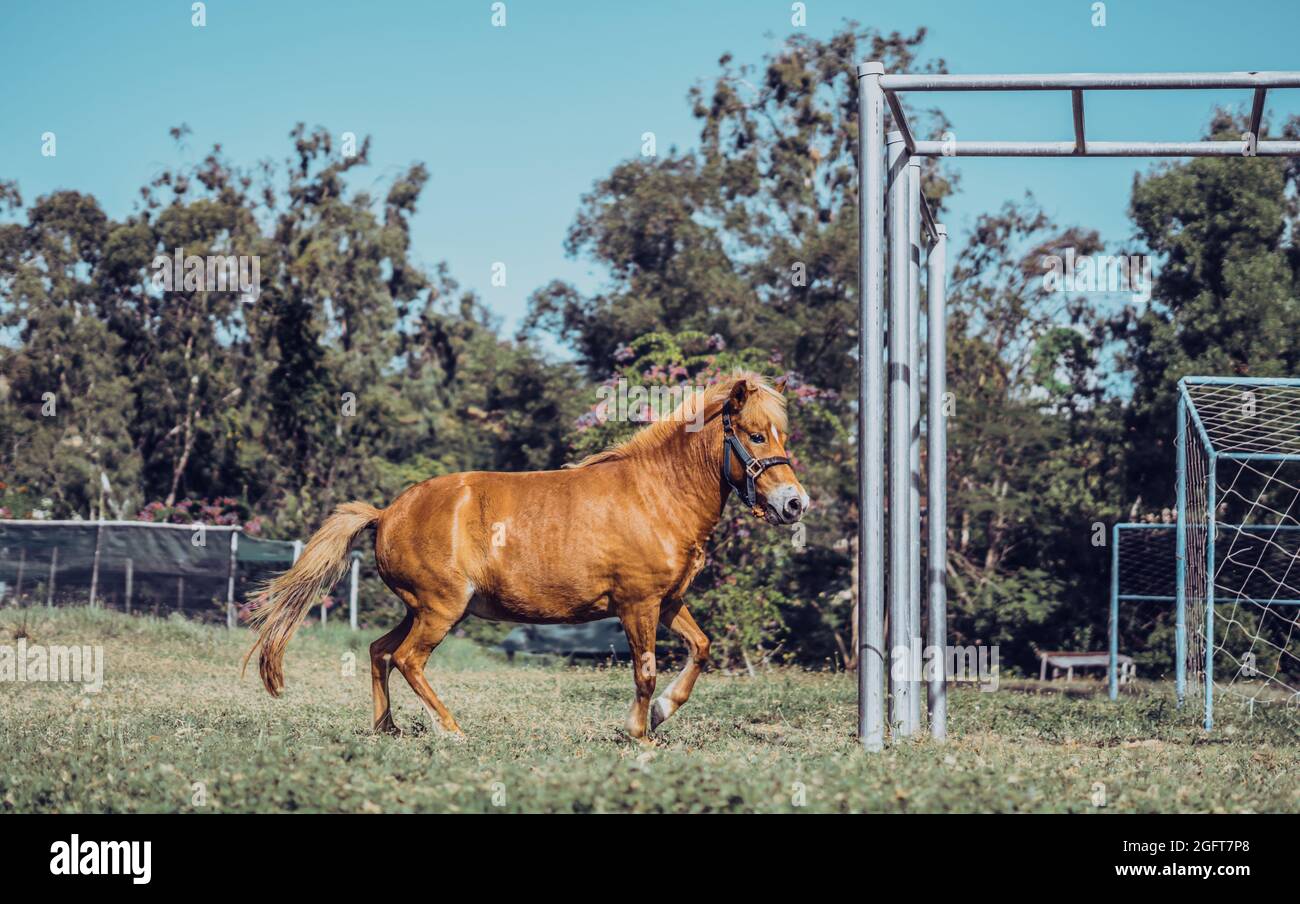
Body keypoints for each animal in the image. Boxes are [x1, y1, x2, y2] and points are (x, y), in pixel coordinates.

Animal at [245, 372, 808, 740]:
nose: (794, 503)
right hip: (440, 609)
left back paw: (389, 727)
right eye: (756, 435)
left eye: (781, 434)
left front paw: (662, 713)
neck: (655, 495)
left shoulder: (667, 603)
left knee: (380, 651)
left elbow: (702, 648)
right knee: (407, 659)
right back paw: (450, 729)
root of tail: (387, 513)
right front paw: (639, 732)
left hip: (422, 609)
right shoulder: (637, 605)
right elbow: (645, 672)